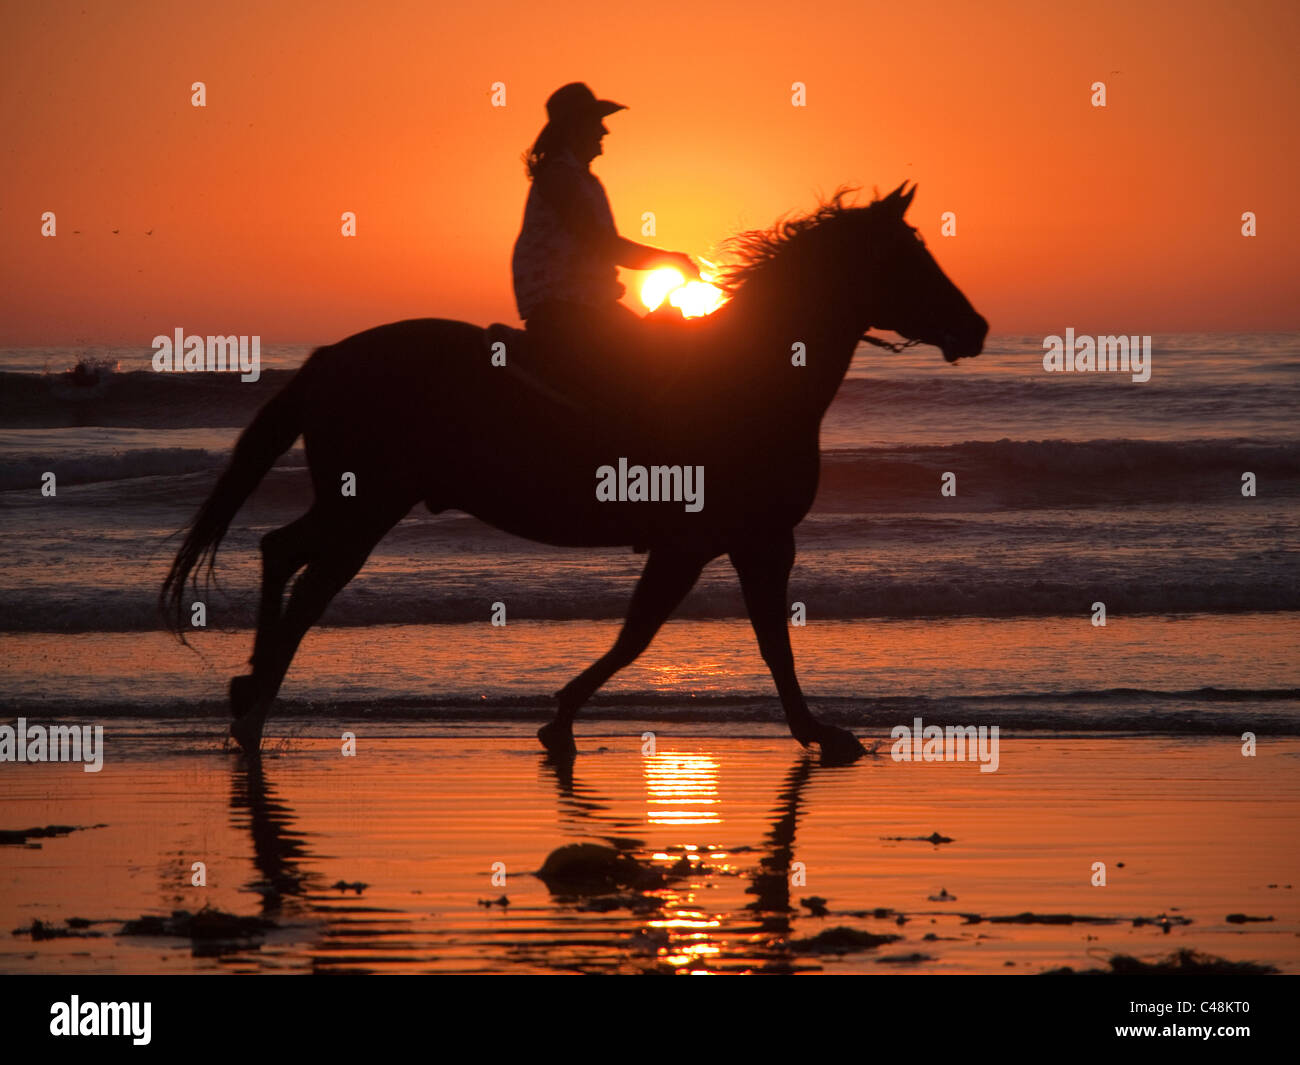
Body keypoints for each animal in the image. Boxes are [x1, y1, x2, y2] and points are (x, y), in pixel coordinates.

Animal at [161, 182, 987, 762]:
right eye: (908, 256)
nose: (974, 328)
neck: (752, 374)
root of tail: (333, 358)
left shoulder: (721, 543)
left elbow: (665, 634)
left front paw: (561, 718)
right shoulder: (730, 540)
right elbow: (694, 638)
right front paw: (818, 731)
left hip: (356, 504)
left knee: (279, 550)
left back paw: (248, 686)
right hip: (366, 508)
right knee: (306, 585)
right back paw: (254, 707)